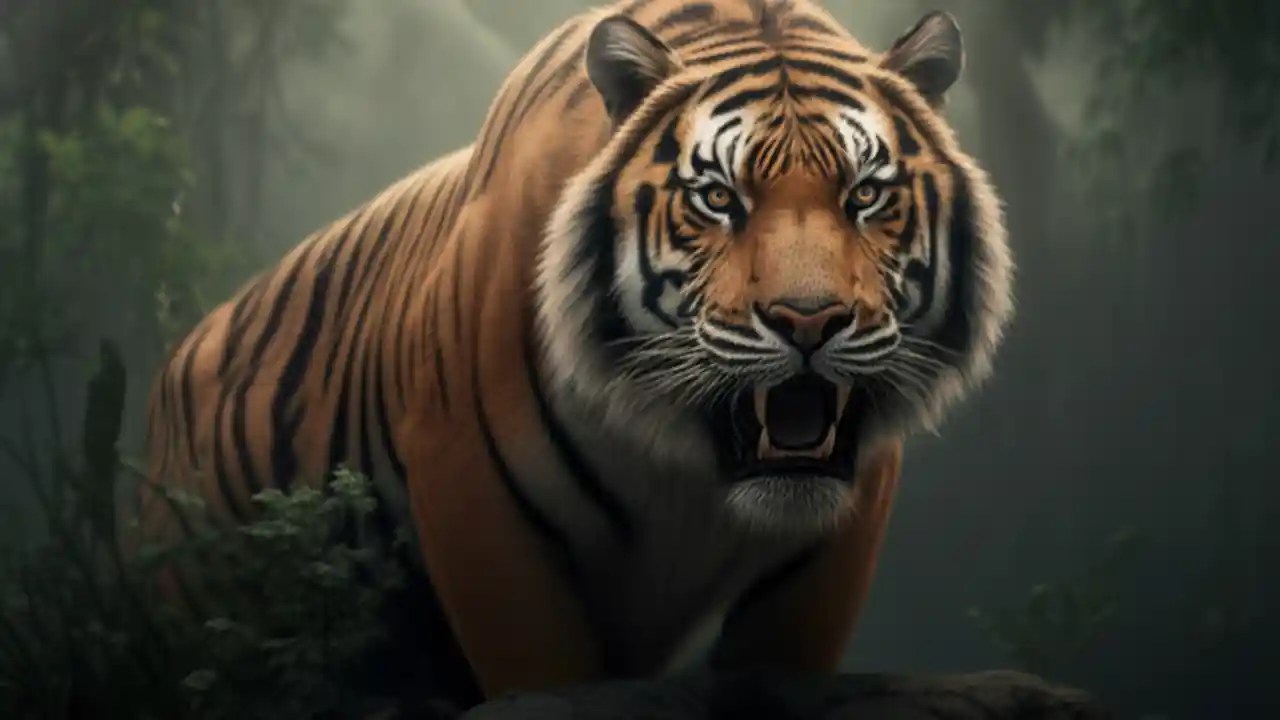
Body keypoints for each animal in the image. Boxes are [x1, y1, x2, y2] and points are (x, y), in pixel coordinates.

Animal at [138, 0, 1013, 710]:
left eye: (865, 195)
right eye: (718, 199)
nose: (810, 320)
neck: (689, 466)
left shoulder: (833, 544)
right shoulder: (475, 501)